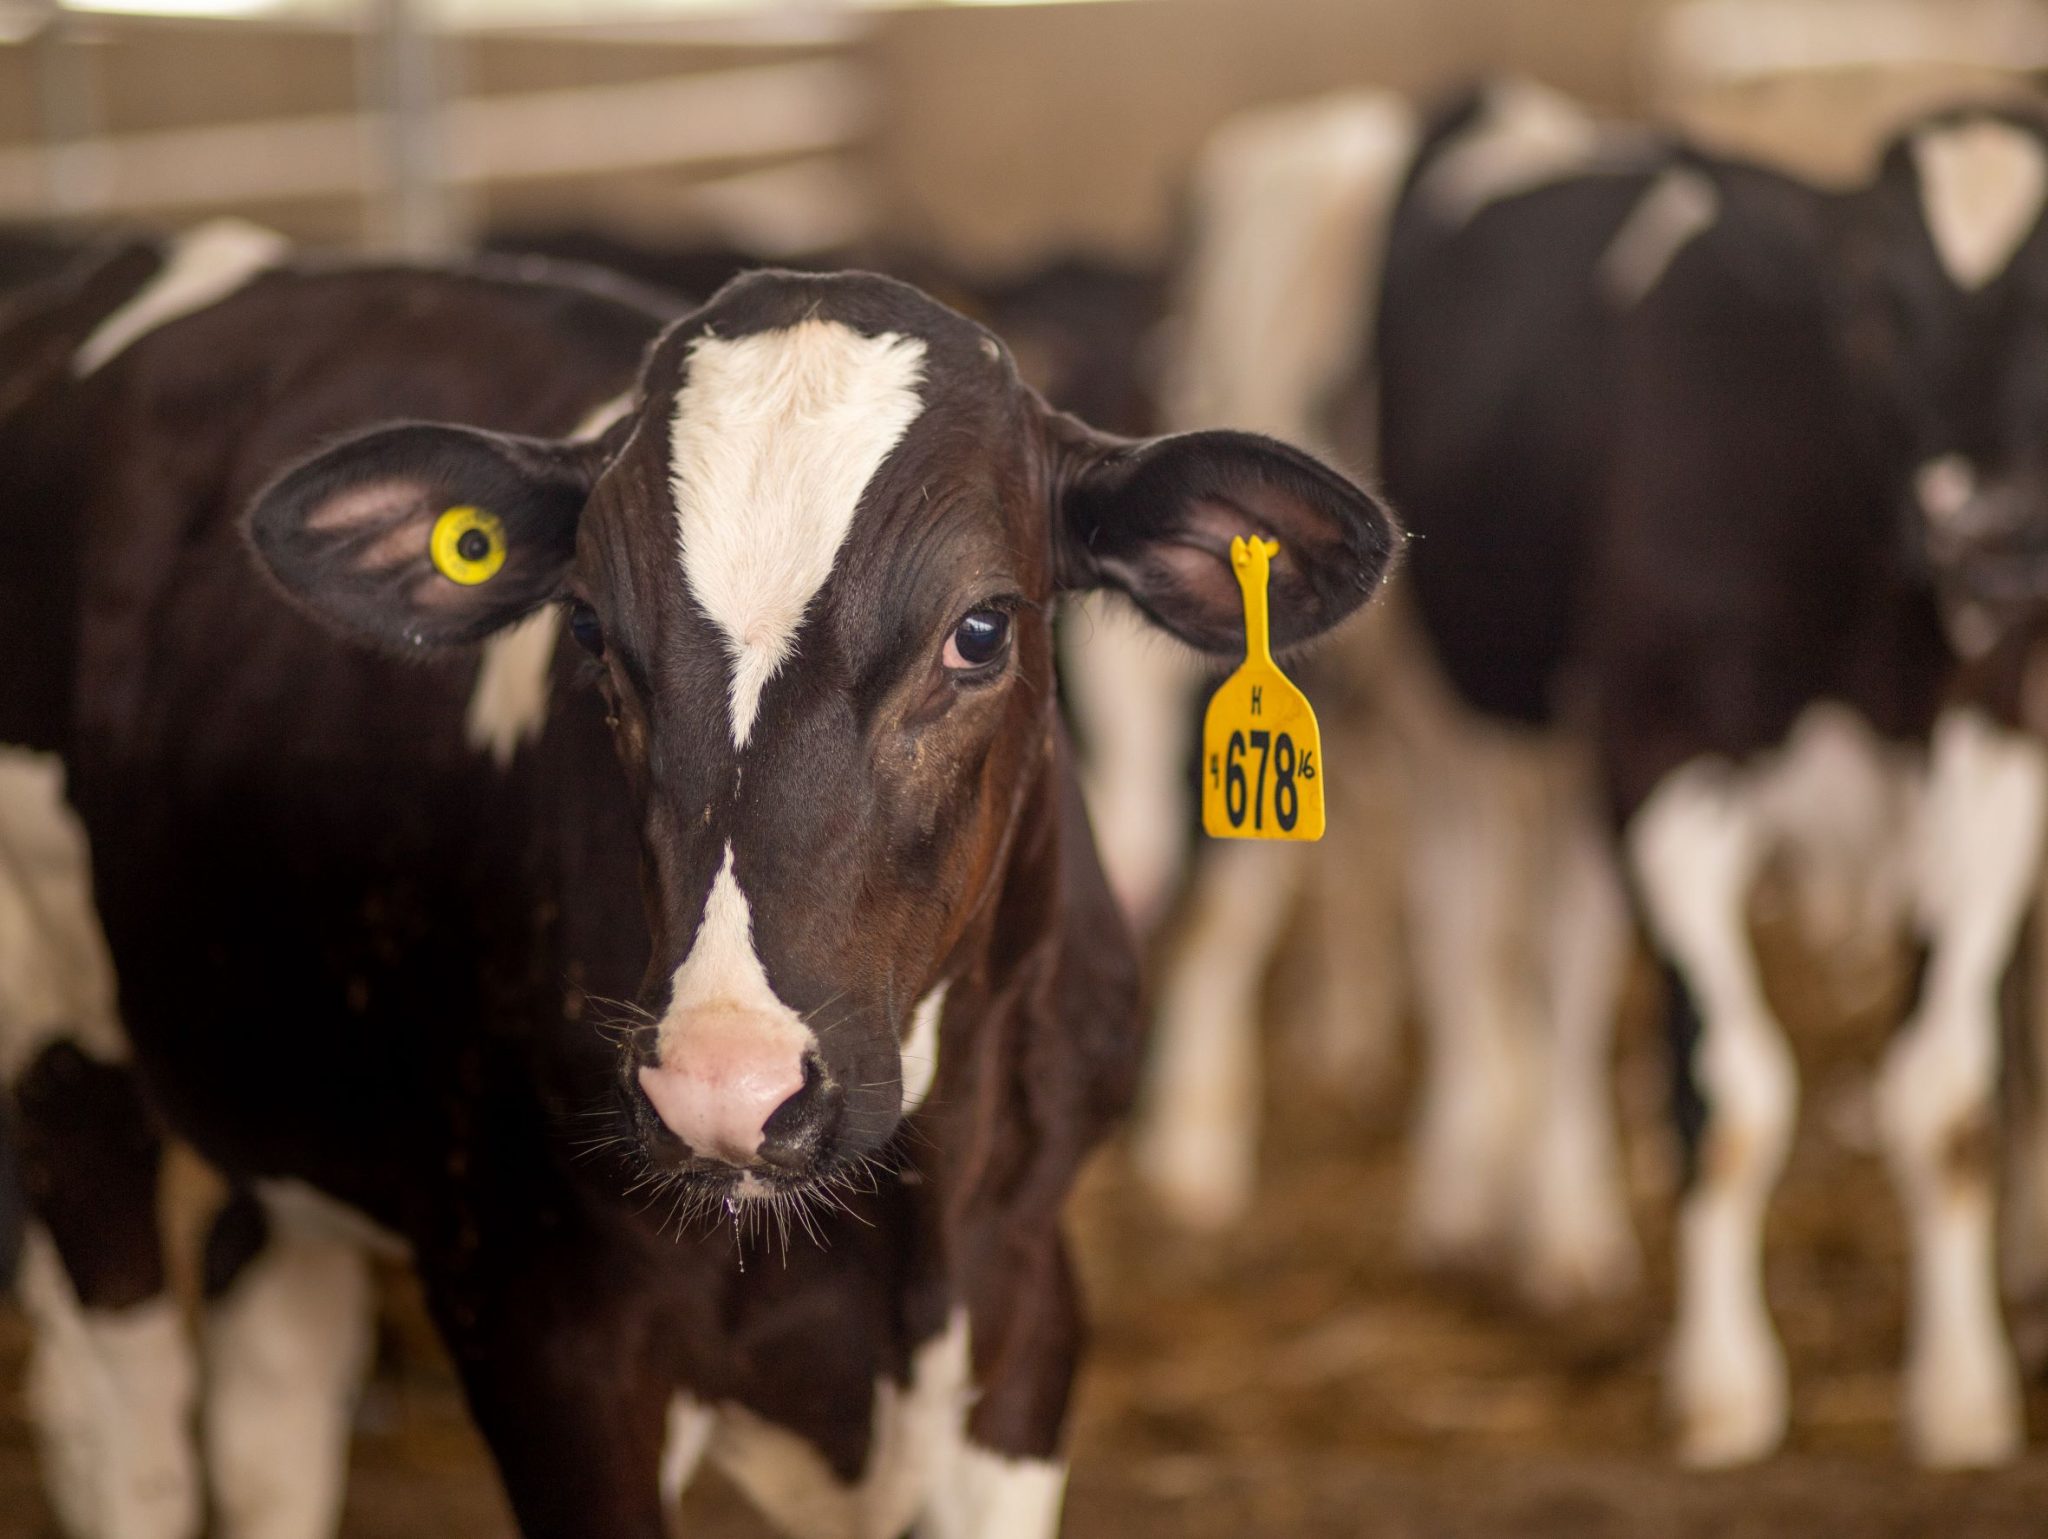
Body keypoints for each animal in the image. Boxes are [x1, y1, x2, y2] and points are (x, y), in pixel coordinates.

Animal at [0, 221, 1397, 1538]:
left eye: (981, 630)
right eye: (587, 631)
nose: (727, 1086)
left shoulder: (1026, 1309)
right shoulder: (546, 1329)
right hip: (61, 1040)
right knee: (128, 1424)